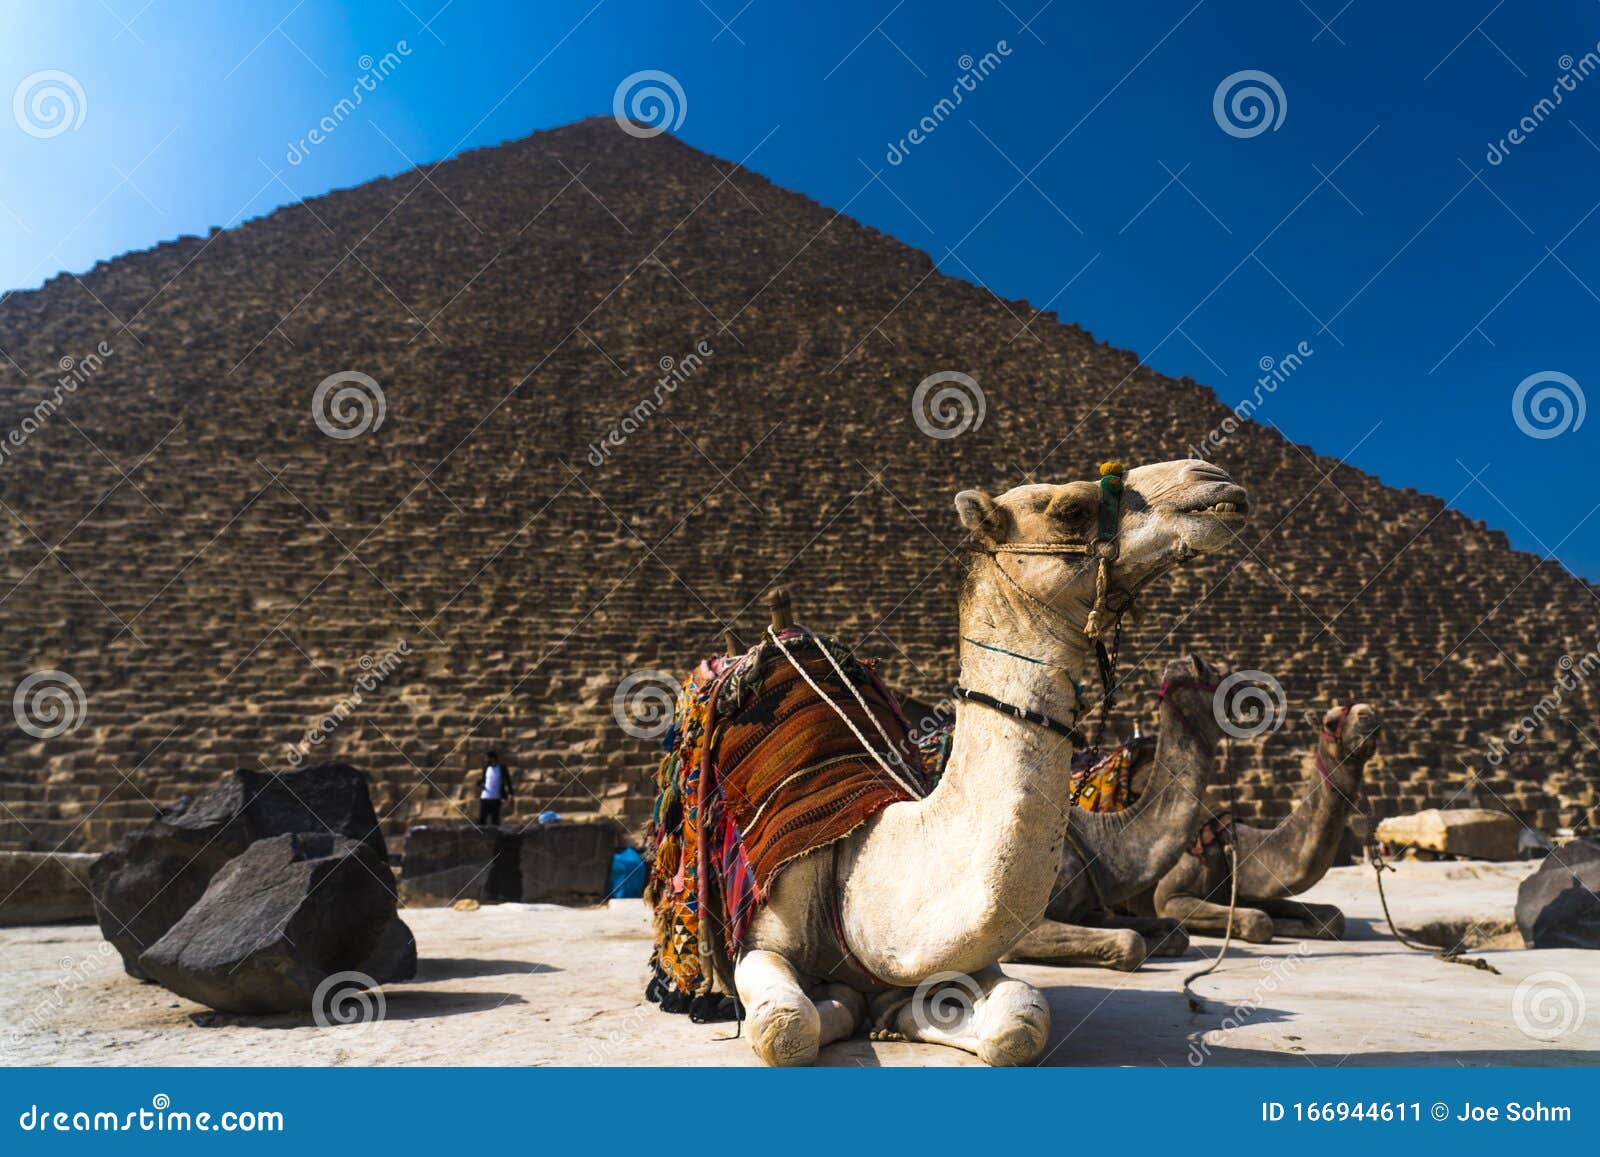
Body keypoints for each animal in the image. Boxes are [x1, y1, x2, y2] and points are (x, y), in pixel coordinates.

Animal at [732, 458, 1248, 1065]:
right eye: (1070, 509)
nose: (1209, 477)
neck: (864, 864)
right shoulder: (764, 936)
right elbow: (787, 1026)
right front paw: (843, 1004)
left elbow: (1022, 1021)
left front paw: (897, 1014)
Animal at [1145, 702, 1383, 942]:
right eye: (1330, 723)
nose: (1367, 713)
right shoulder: (1169, 898)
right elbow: (1259, 920)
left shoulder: (1248, 891)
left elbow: (1334, 917)